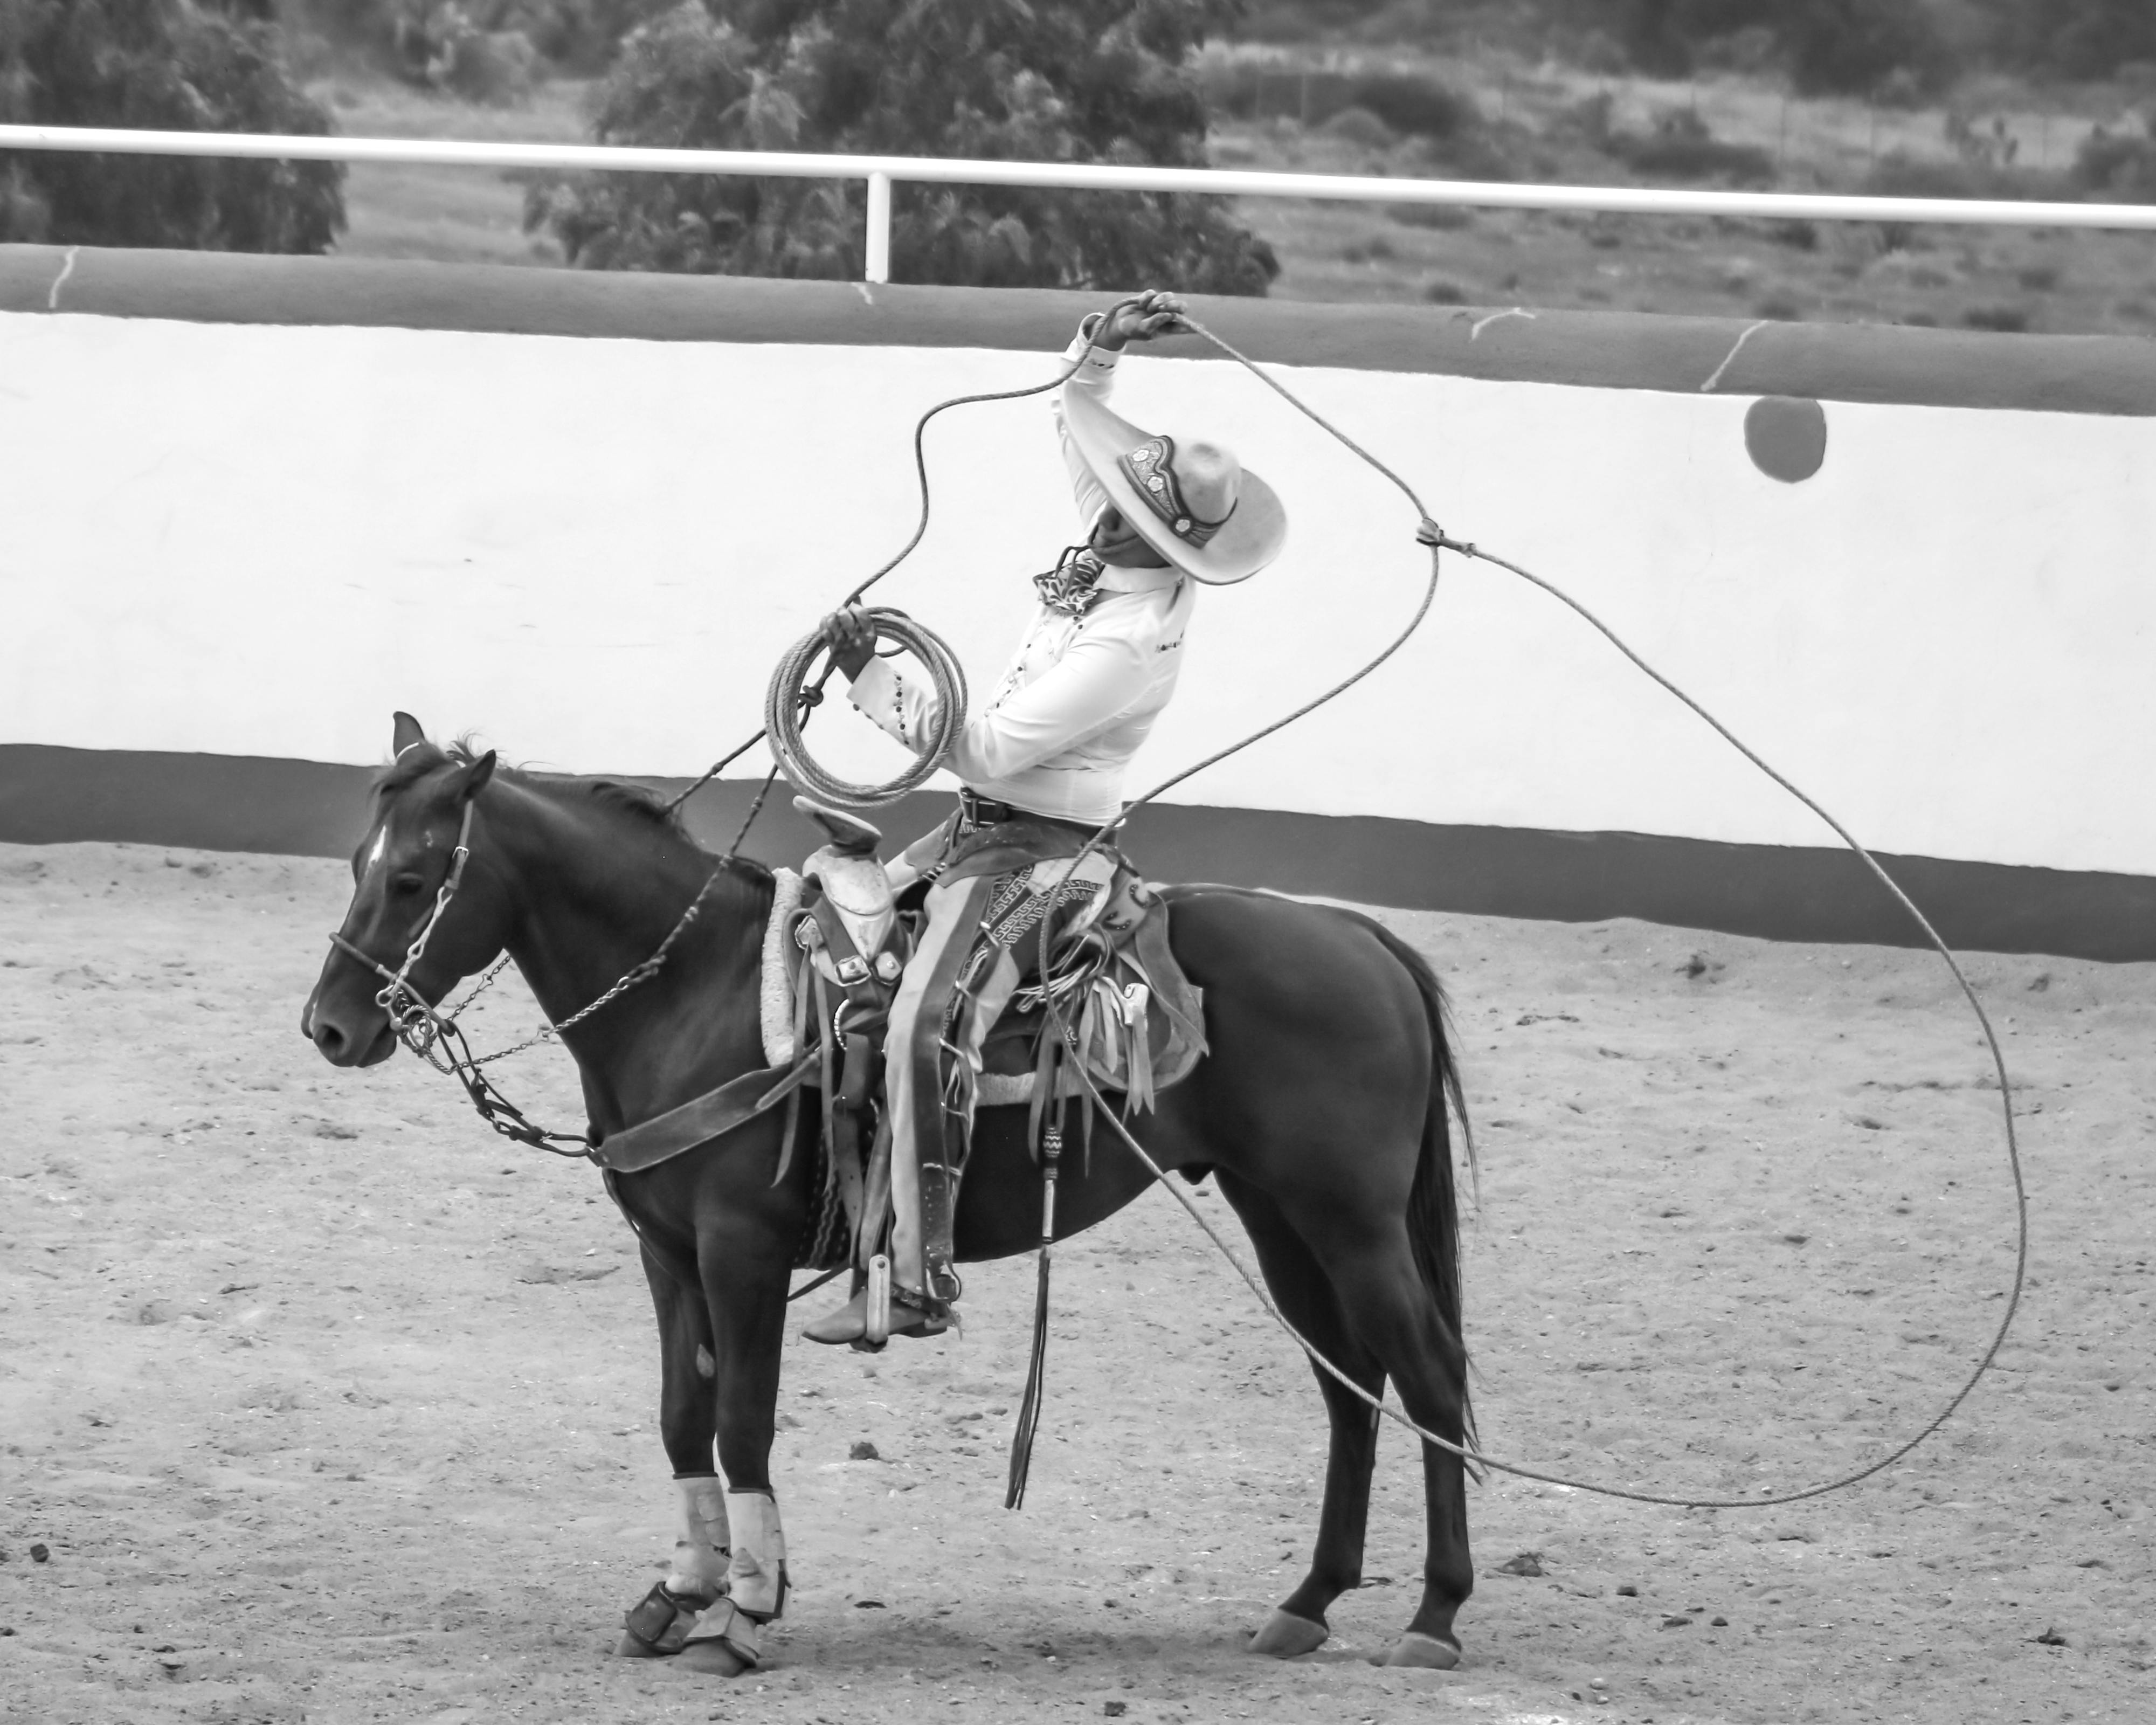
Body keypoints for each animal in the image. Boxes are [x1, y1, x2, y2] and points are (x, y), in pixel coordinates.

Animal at [301, 713, 1476, 1674]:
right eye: (357, 861)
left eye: (414, 878)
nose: (330, 1027)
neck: (697, 992)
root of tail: (1361, 935)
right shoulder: (666, 1250)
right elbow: (683, 1418)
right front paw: (678, 1593)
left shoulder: (740, 1249)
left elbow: (742, 1423)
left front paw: (745, 1613)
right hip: (1277, 1212)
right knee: (1348, 1386)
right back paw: (1308, 1602)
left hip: (1350, 1219)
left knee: (1424, 1374)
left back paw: (1434, 1615)